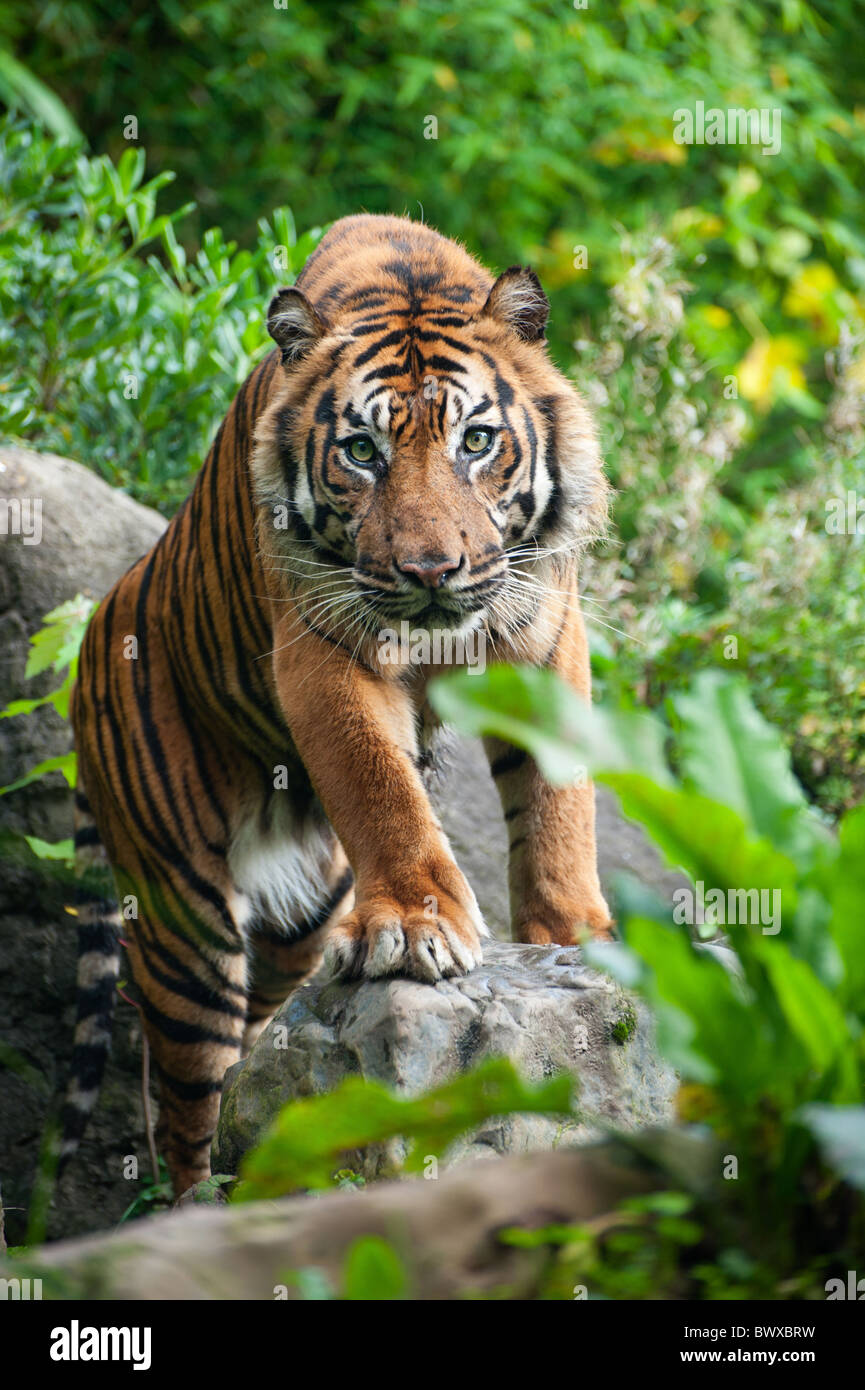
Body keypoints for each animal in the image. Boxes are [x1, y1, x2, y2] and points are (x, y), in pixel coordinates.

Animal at [60, 213, 613, 1198]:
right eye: (362, 452)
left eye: (476, 441)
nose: (430, 571)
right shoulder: (324, 643)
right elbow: (378, 782)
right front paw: (414, 928)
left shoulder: (543, 622)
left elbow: (557, 798)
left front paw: (570, 934)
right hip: (184, 925)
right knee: (185, 1105)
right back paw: (205, 1201)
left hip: (301, 918)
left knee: (246, 1055)